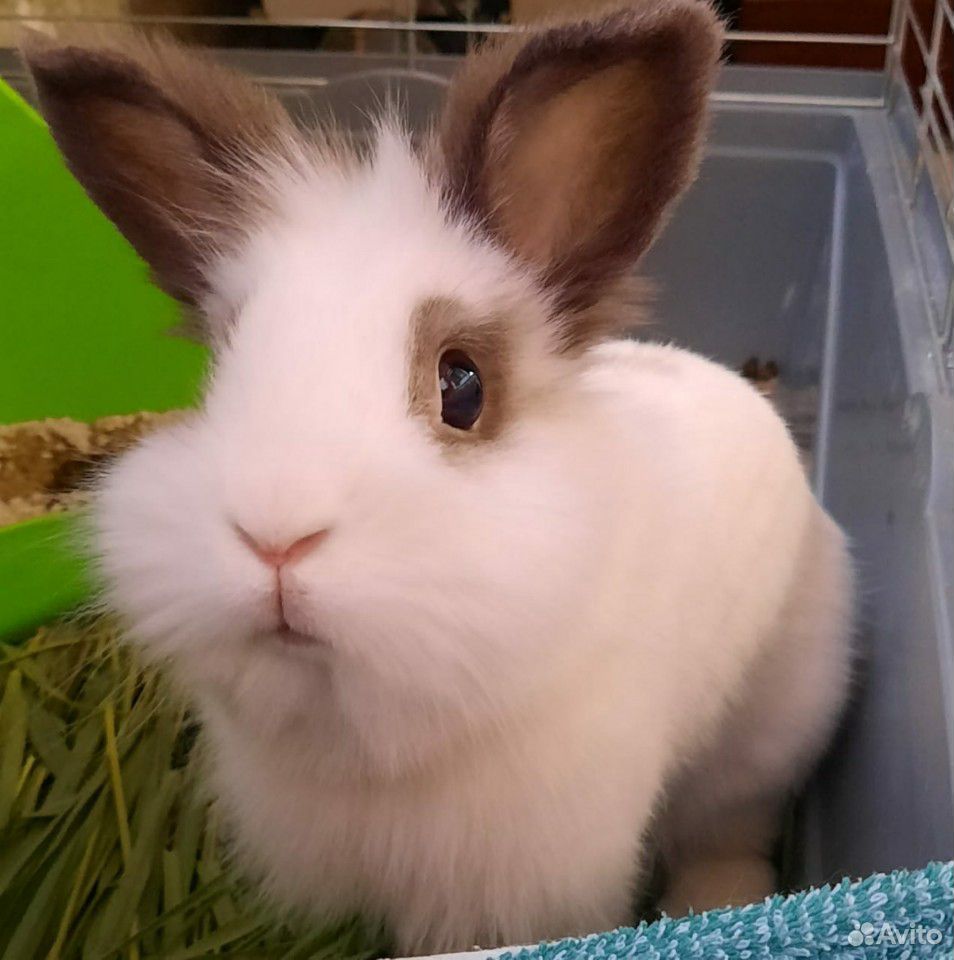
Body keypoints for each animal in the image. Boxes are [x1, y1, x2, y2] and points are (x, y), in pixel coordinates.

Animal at [21, 2, 854, 954]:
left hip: (768, 731)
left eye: (464, 387)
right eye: (216, 377)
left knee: (731, 826)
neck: (369, 742)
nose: (275, 538)